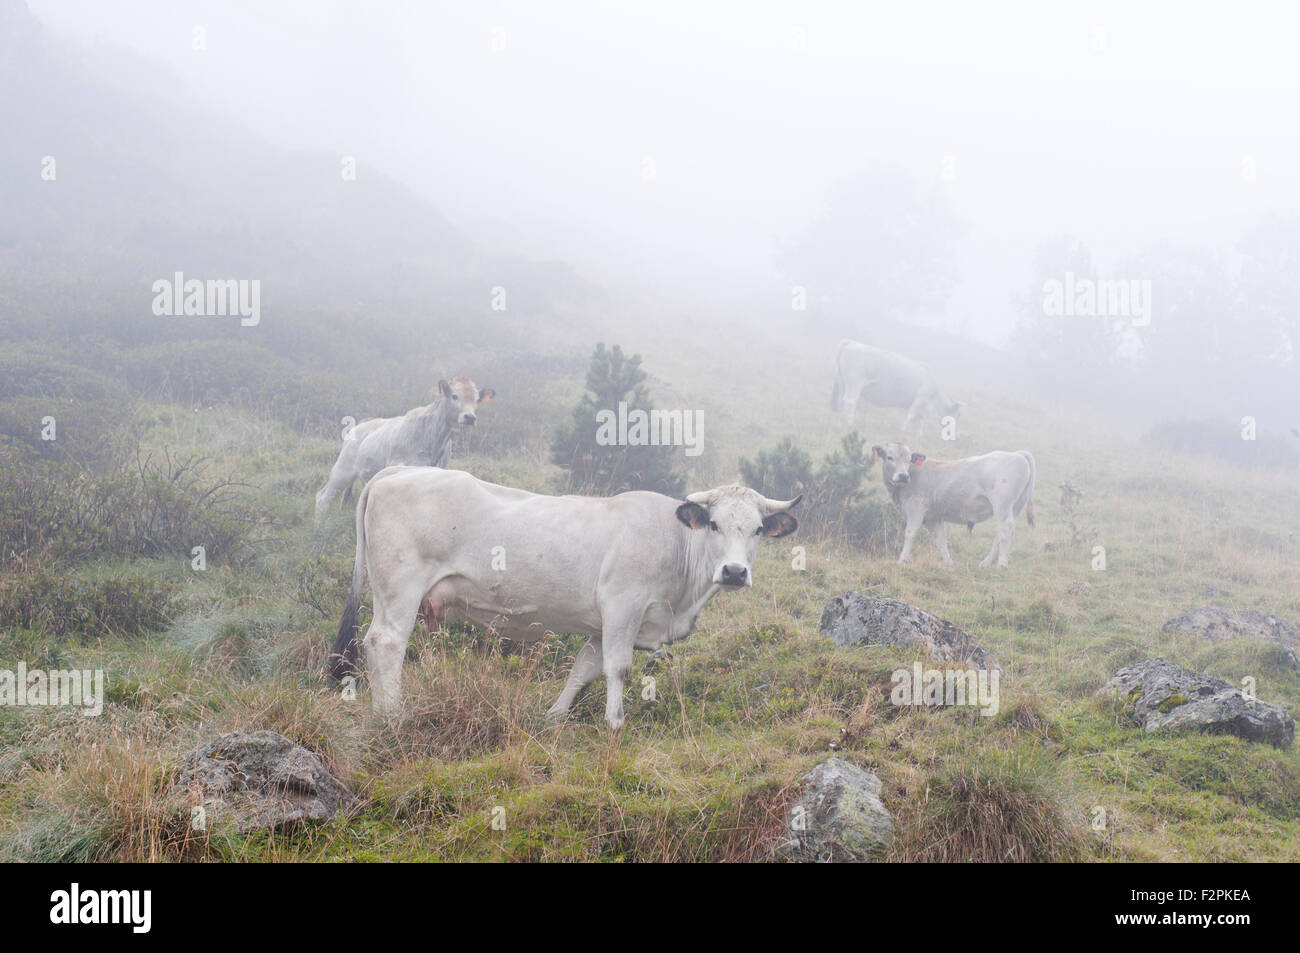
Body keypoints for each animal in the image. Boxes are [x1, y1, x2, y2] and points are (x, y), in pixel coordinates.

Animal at [313, 377, 494, 521]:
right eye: (455, 396)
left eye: (476, 400)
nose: (470, 417)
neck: (433, 437)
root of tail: (359, 425)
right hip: (342, 469)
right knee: (323, 498)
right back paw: (319, 525)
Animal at [329, 467, 800, 729]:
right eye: (715, 524)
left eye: (758, 529)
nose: (734, 571)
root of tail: (397, 471)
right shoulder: (623, 605)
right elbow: (618, 668)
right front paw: (615, 723)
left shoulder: (603, 625)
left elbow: (583, 670)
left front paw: (555, 716)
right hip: (400, 587)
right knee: (386, 643)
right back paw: (391, 715)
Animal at [832, 339, 963, 434]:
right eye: (958, 415)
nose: (955, 434)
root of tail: (851, 342)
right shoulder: (920, 398)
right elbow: (911, 415)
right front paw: (902, 430)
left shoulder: (919, 405)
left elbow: (920, 419)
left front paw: (918, 435)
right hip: (854, 384)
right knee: (850, 402)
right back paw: (850, 424)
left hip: (842, 382)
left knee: (839, 402)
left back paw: (838, 425)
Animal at [873, 441, 1035, 568]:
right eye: (889, 457)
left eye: (909, 460)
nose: (903, 476)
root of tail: (1016, 454)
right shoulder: (933, 517)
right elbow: (940, 539)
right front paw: (948, 563)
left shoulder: (916, 508)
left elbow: (910, 533)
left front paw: (901, 560)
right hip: (1015, 507)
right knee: (1001, 533)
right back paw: (986, 563)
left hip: (1002, 505)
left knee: (1005, 529)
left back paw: (1001, 564)